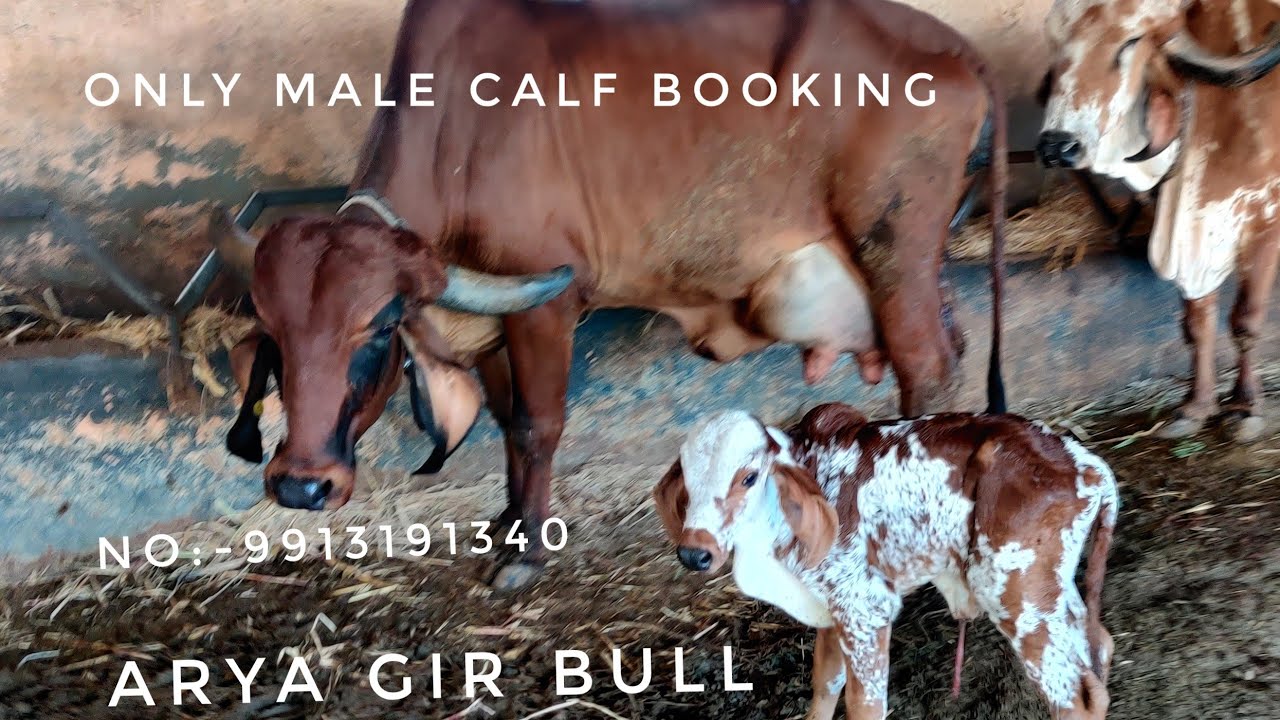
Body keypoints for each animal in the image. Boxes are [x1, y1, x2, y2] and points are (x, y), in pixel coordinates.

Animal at [213, 0, 1010, 590]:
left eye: (377, 328)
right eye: (273, 334)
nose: (301, 487)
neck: (457, 138)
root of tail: (956, 46)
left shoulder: (544, 305)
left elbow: (535, 426)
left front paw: (526, 553)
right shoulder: (498, 316)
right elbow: (503, 418)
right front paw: (507, 521)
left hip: (893, 247)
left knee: (926, 366)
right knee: (950, 349)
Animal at [654, 403, 1119, 720]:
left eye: (749, 477)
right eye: (688, 483)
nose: (695, 553)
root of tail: (1083, 462)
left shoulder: (864, 608)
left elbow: (864, 702)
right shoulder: (830, 611)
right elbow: (825, 684)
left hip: (1015, 593)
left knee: (1074, 696)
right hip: (1048, 590)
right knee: (1097, 646)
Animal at [1037, 0, 1280, 442]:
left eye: (1131, 40)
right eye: (1054, 39)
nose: (1057, 146)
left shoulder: (1266, 223)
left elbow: (1246, 320)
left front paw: (1246, 406)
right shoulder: (1192, 238)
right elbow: (1197, 323)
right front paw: (1196, 406)